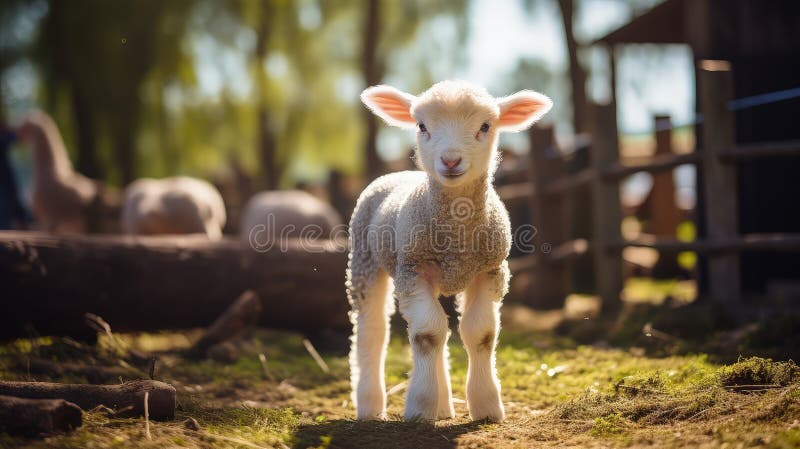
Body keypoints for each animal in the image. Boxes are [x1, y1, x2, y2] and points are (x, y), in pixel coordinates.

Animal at [348, 80, 552, 422]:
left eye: (485, 126)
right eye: (422, 126)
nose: (451, 160)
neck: (456, 232)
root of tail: (399, 174)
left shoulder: (491, 270)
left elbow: (479, 334)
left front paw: (486, 407)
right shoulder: (412, 270)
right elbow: (427, 334)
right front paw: (419, 408)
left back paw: (443, 408)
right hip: (364, 260)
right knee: (372, 331)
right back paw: (370, 406)